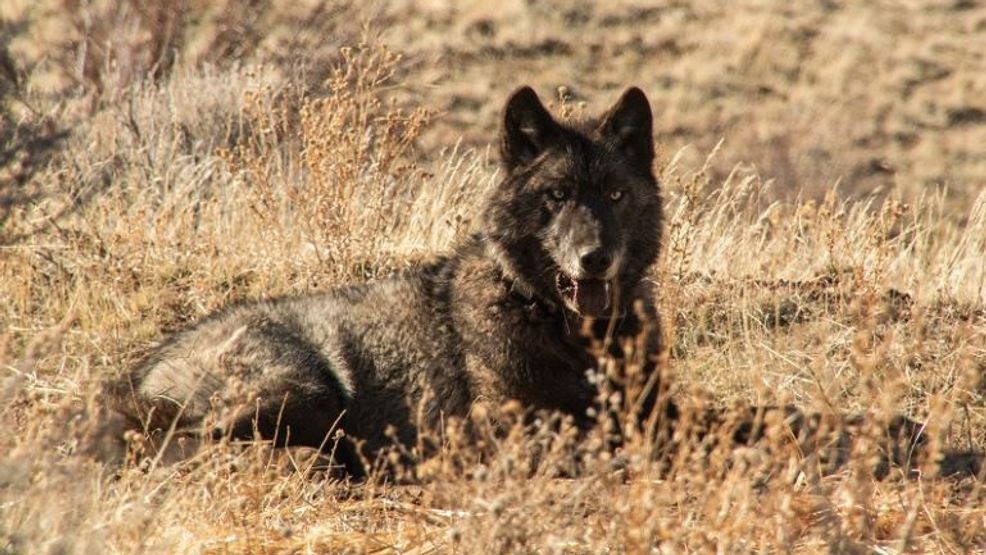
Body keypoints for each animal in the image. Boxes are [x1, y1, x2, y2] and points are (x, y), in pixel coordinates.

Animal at [128, 86, 668, 476]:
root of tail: (146, 366)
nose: (595, 258)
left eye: (615, 195)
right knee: (189, 447)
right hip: (304, 391)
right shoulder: (504, 435)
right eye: (557, 196)